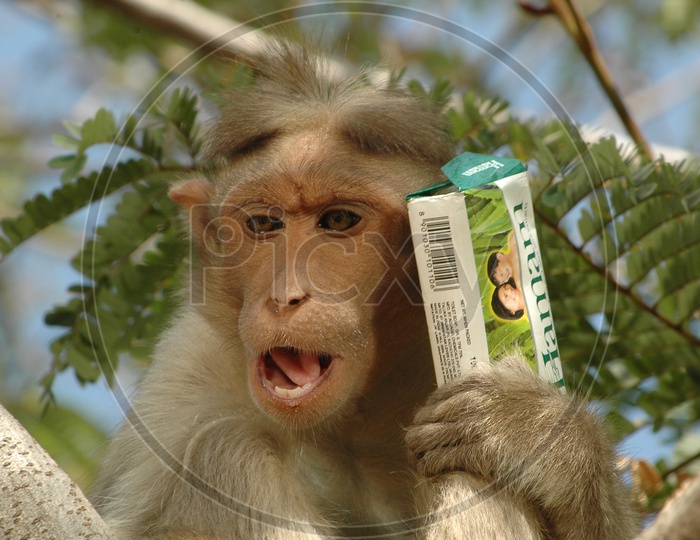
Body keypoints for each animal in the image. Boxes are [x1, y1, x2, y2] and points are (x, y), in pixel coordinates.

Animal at [91, 44, 638, 539]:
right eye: (263, 224)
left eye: (338, 221)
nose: (286, 296)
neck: (348, 423)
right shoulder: (182, 380)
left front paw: (533, 429)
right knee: (225, 451)